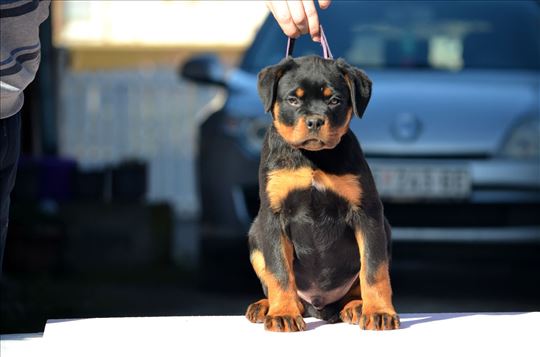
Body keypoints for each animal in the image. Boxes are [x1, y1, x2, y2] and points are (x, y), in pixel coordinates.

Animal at [247, 55, 398, 330]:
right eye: (293, 99)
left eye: (334, 100)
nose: (315, 121)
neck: (312, 157)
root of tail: (318, 306)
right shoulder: (273, 216)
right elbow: (278, 271)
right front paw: (282, 314)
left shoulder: (367, 213)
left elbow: (374, 269)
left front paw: (380, 312)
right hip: (255, 233)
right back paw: (267, 306)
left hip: (385, 228)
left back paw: (356, 306)